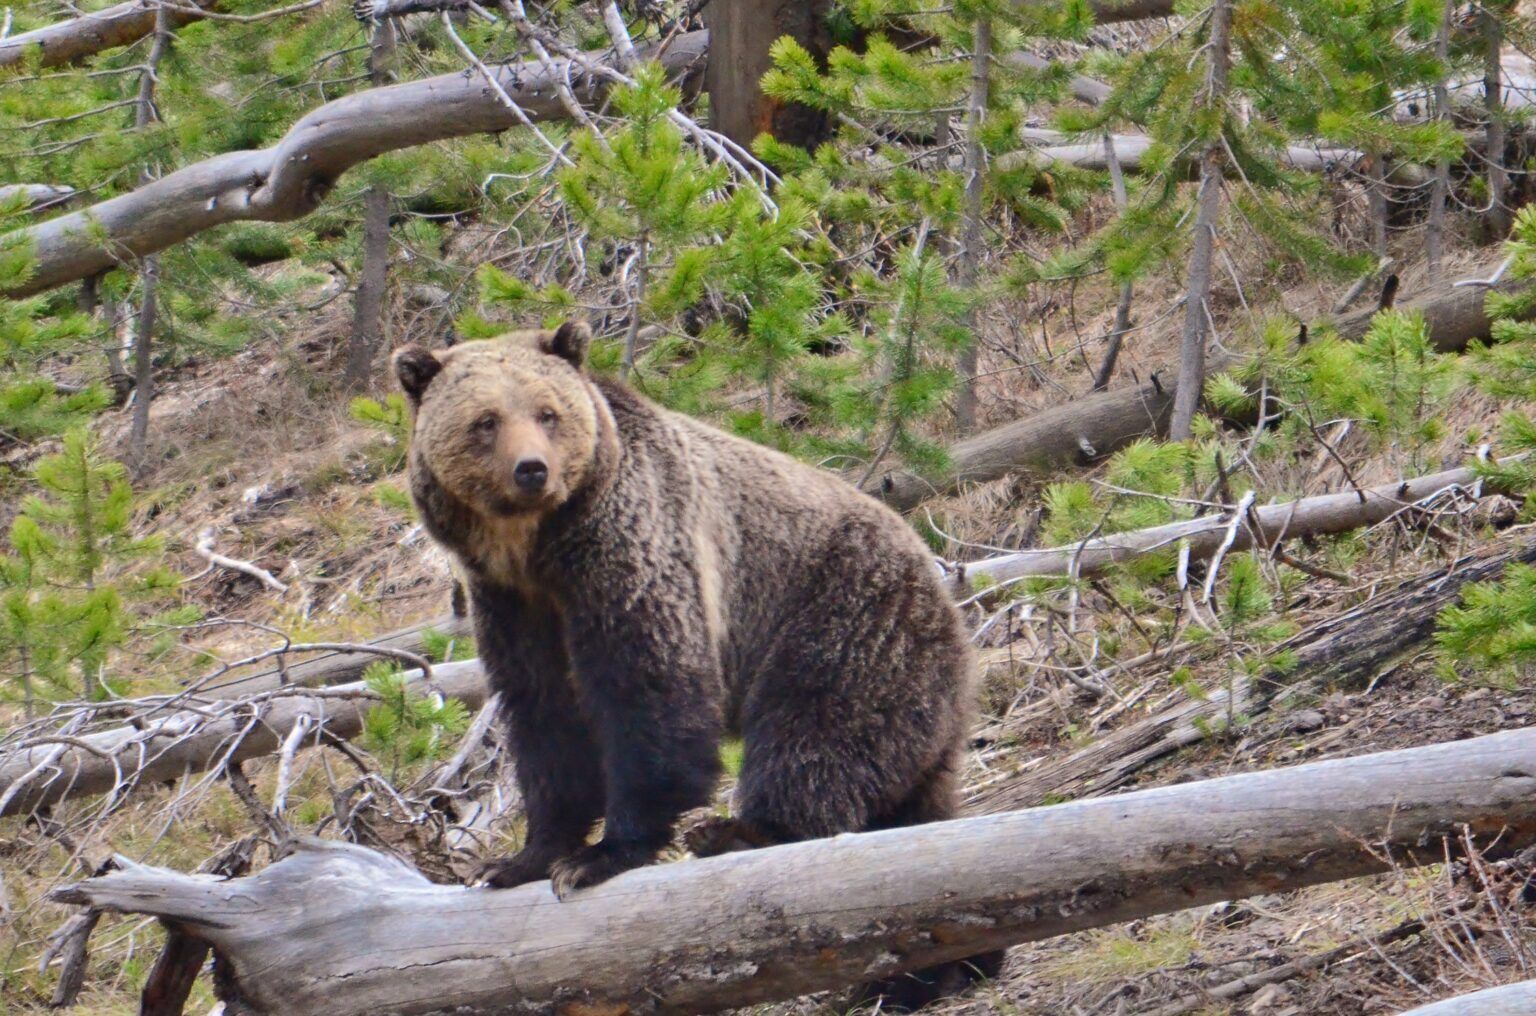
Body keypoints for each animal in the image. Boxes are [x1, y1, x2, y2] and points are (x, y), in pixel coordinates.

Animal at [393, 321, 1002, 1009]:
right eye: (486, 421)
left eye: (547, 413)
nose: (532, 470)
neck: (538, 550)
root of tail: (946, 592)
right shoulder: (512, 606)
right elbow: (544, 720)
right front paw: (520, 859)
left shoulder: (633, 549)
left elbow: (648, 690)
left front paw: (602, 855)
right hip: (911, 693)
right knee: (911, 806)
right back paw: (937, 968)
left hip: (844, 618)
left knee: (814, 737)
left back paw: (740, 833)